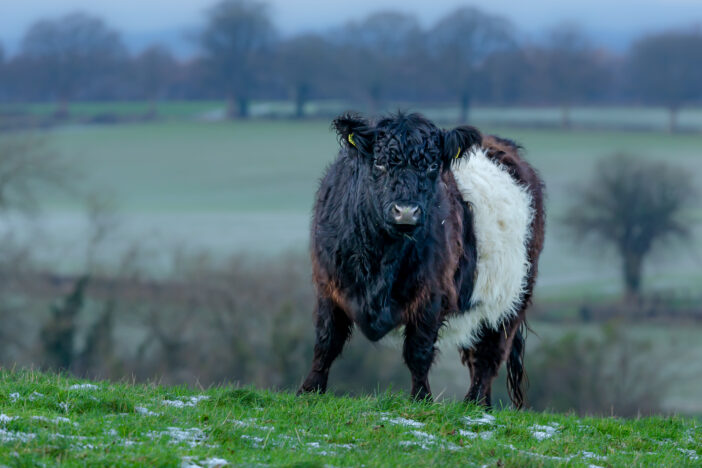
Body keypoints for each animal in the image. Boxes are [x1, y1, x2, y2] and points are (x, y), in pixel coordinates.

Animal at [297, 112, 545, 408]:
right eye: (379, 163)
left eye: (432, 167)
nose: (405, 211)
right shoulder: (328, 285)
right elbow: (327, 341)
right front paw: (309, 390)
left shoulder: (431, 294)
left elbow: (418, 351)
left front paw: (420, 398)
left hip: (510, 301)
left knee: (488, 355)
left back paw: (473, 404)